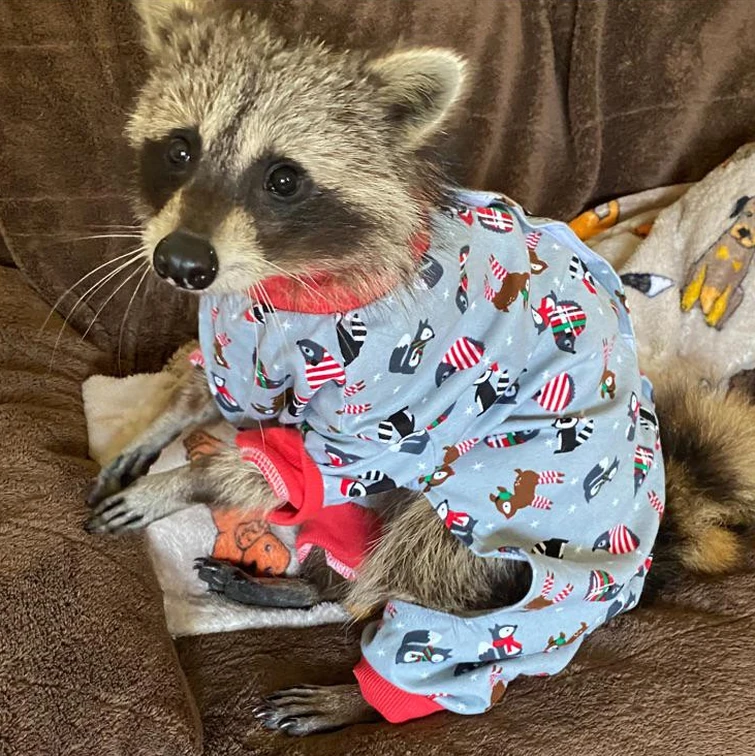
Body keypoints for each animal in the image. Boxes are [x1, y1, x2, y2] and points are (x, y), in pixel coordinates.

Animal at [85, 0, 755, 737]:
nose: (181, 263)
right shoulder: (244, 341)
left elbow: (300, 461)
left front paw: (182, 482)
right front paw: (153, 432)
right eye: (180, 149)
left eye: (282, 179)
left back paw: (366, 690)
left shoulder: (384, 403)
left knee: (431, 585)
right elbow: (217, 389)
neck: (281, 283)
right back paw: (316, 583)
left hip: (515, 540)